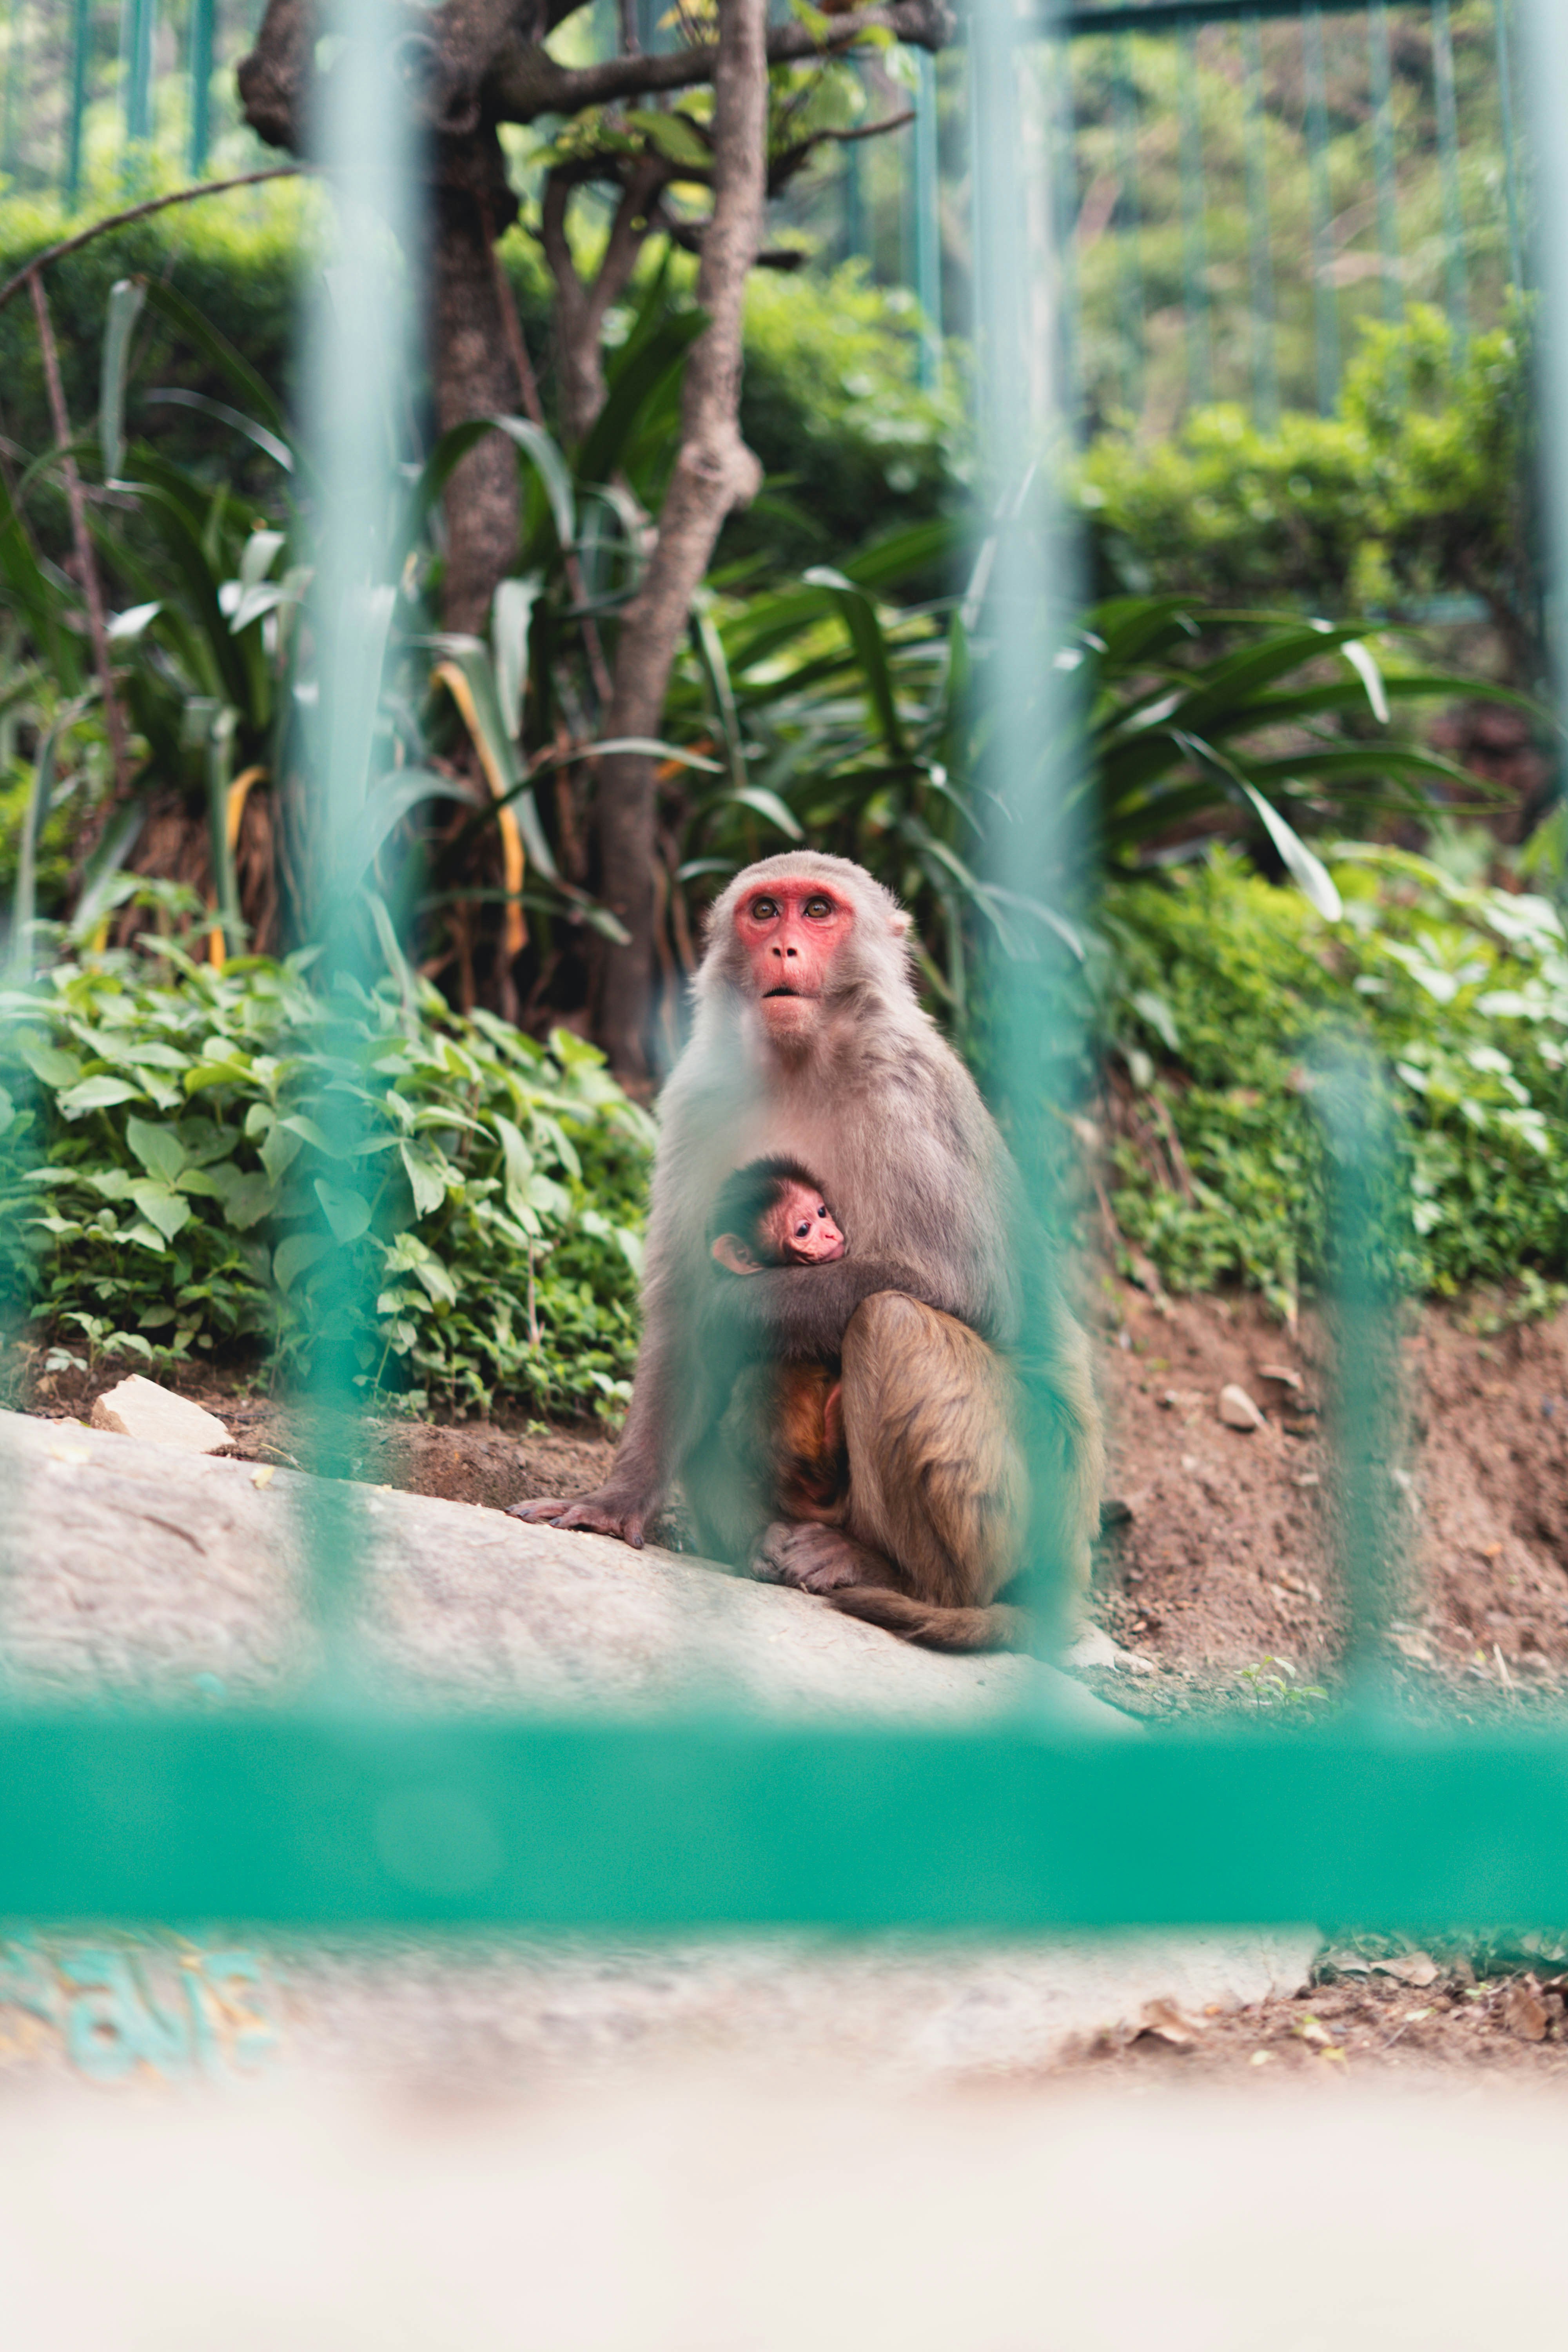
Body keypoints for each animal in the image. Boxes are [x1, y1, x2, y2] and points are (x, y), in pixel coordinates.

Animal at [510, 850, 1104, 1655]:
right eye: (765, 912)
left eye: (819, 912)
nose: (785, 948)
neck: (803, 1060)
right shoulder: (698, 1094)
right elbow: (674, 1308)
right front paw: (617, 1499)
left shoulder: (904, 1090)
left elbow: (961, 1284)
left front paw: (730, 1307)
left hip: (1035, 1503)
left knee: (891, 1321)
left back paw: (901, 1578)